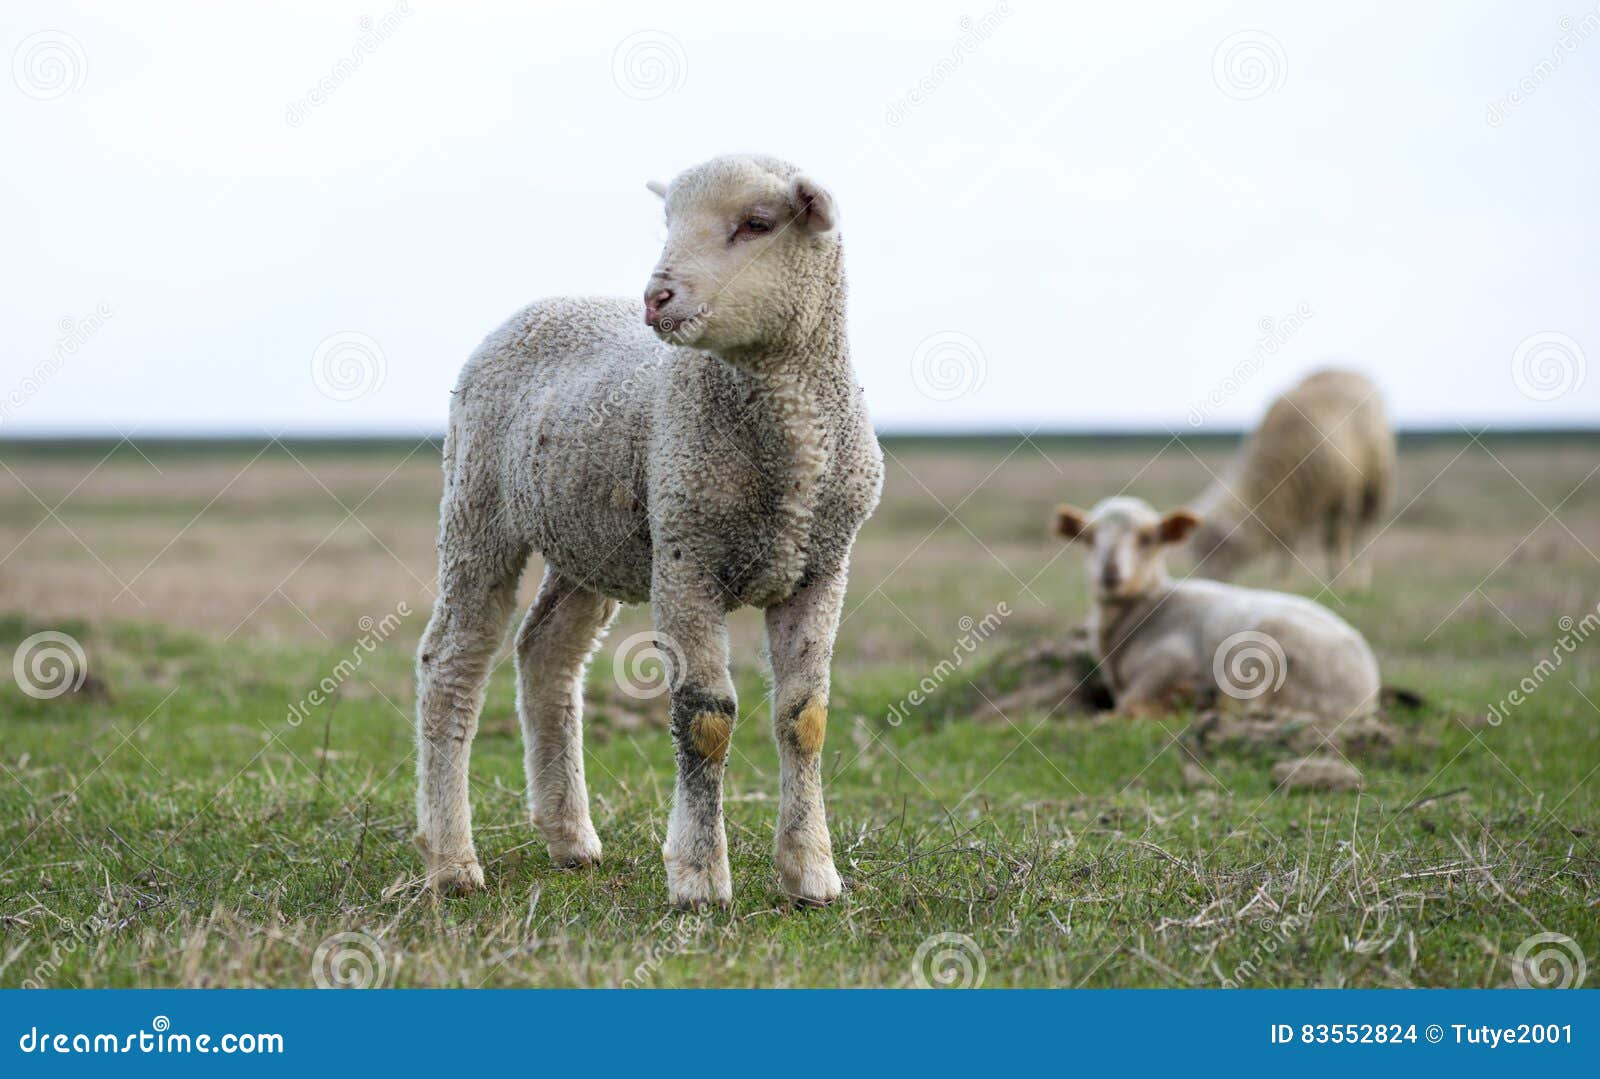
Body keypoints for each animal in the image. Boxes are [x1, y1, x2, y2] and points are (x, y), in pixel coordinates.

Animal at [413, 155, 883, 909]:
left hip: (588, 538)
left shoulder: (822, 565)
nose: (656, 297)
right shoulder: (686, 555)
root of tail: (542, 305)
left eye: (757, 223)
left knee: (546, 653)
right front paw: (699, 878)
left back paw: (570, 838)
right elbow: (707, 719)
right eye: (667, 221)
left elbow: (804, 716)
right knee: (452, 661)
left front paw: (811, 873)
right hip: (477, 505)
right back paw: (452, 861)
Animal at [1052, 497, 1380, 731]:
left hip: (1262, 652)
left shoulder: (1174, 660)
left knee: (1240, 709)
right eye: (1088, 537)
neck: (1149, 607)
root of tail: (1369, 686)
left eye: (1147, 539)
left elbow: (1129, 703)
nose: (1110, 574)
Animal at [1188, 368, 1395, 588]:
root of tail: (1347, 370)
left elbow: (1336, 539)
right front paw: (1281, 581)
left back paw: (1361, 578)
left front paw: (1341, 580)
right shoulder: (1289, 500)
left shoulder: (1341, 495)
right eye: (1197, 553)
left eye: (1220, 548)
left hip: (1375, 484)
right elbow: (1287, 543)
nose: (1207, 581)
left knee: (1362, 531)